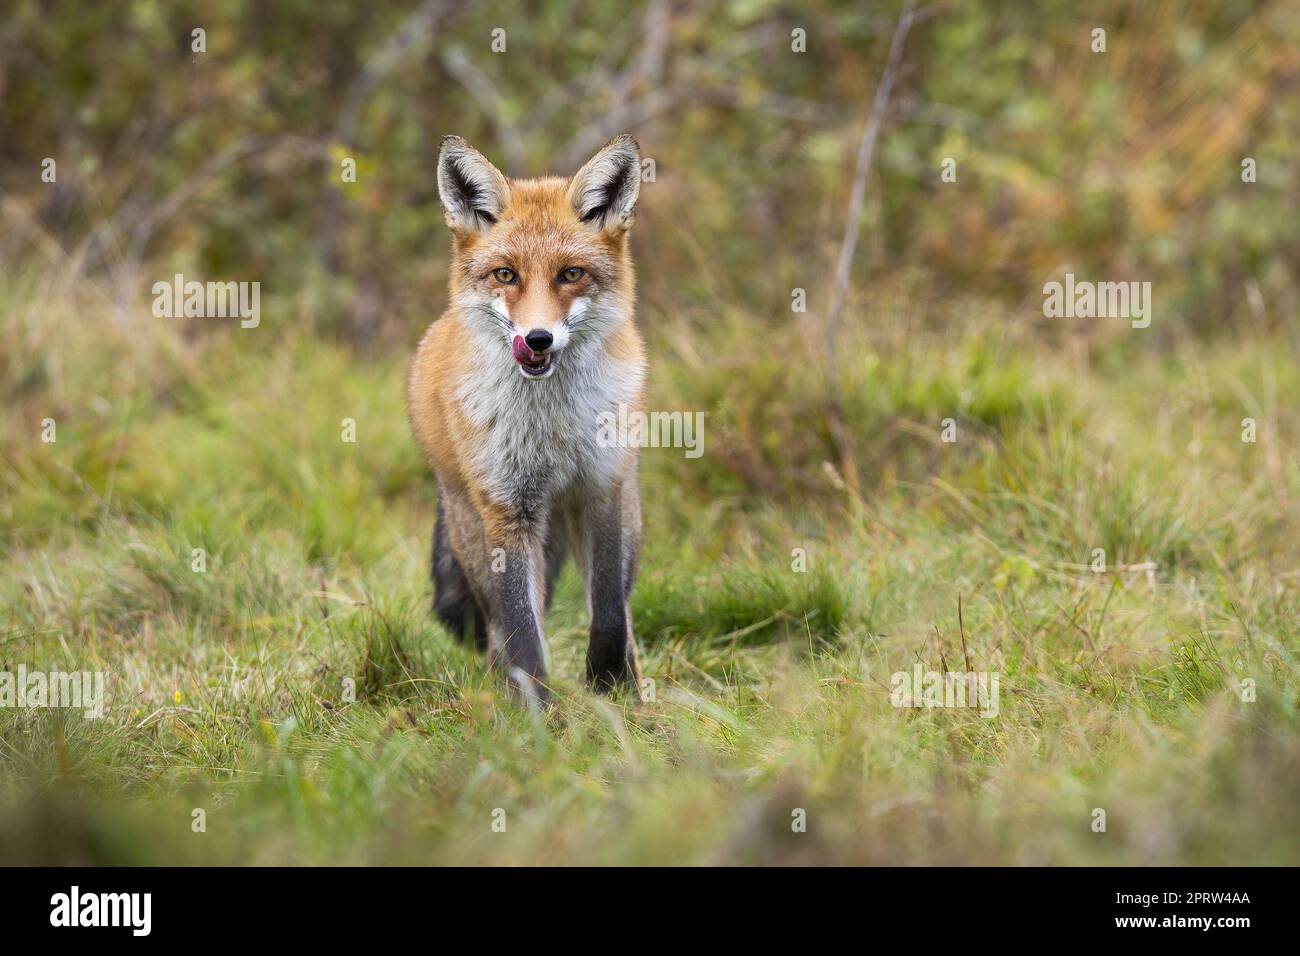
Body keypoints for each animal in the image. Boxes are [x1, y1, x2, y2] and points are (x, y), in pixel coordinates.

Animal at [407, 133, 647, 703]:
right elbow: (522, 629)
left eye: (571, 274)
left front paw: (608, 683)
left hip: (625, 513)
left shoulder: (601, 489)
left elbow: (609, 610)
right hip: (473, 533)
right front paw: (539, 711)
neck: (552, 429)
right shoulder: (507, 508)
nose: (537, 339)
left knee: (625, 608)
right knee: (498, 626)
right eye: (506, 275)